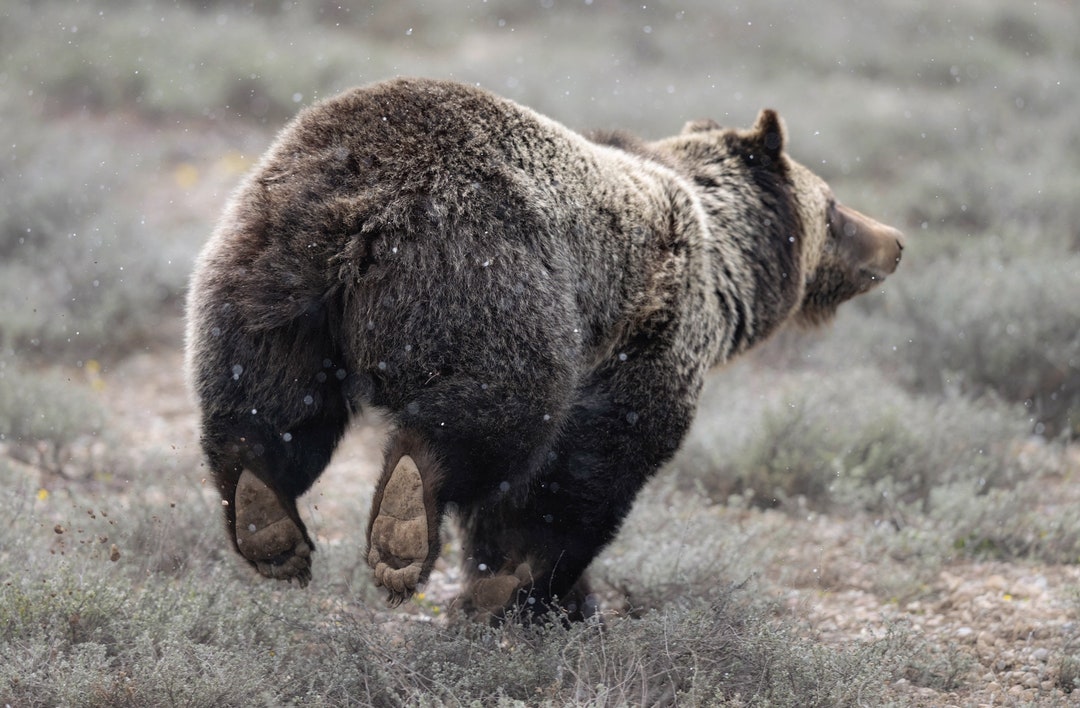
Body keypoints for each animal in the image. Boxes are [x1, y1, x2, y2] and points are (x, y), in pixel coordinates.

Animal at [185, 77, 902, 621]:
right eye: (834, 207)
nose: (893, 241)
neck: (722, 259)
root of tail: (359, 202)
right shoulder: (646, 334)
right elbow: (587, 466)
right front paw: (530, 587)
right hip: (490, 275)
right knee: (498, 410)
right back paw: (403, 525)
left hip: (267, 281)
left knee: (267, 403)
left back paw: (265, 518)